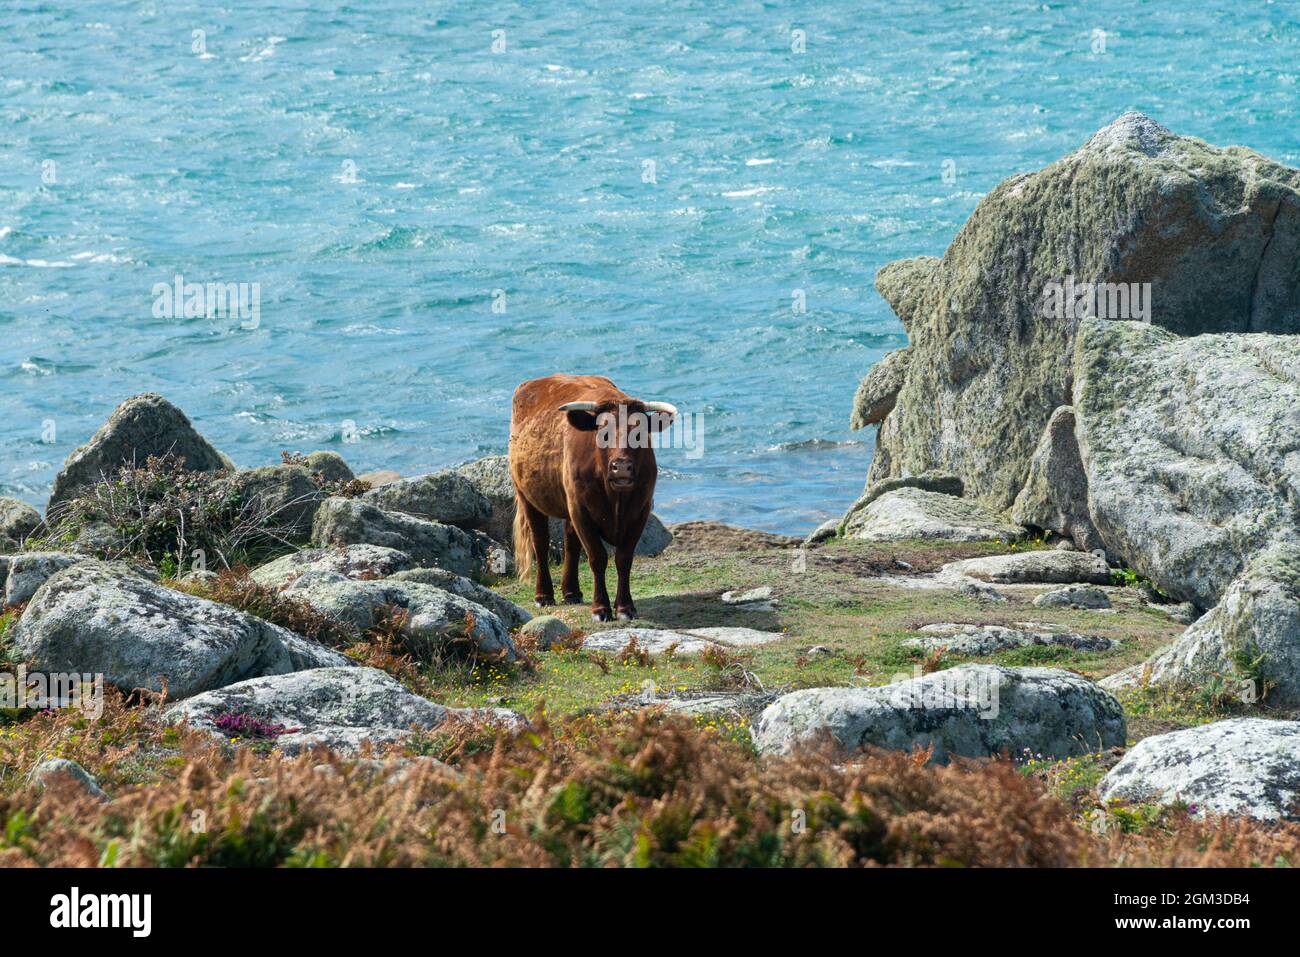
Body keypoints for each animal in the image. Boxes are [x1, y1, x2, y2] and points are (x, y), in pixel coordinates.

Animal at [509, 375, 676, 622]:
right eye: (603, 433)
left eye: (639, 433)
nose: (621, 467)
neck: (616, 498)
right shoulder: (582, 510)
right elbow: (597, 557)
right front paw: (601, 608)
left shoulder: (640, 510)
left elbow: (624, 558)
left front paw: (625, 607)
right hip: (528, 496)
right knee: (540, 542)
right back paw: (544, 595)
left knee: (570, 543)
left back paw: (571, 593)